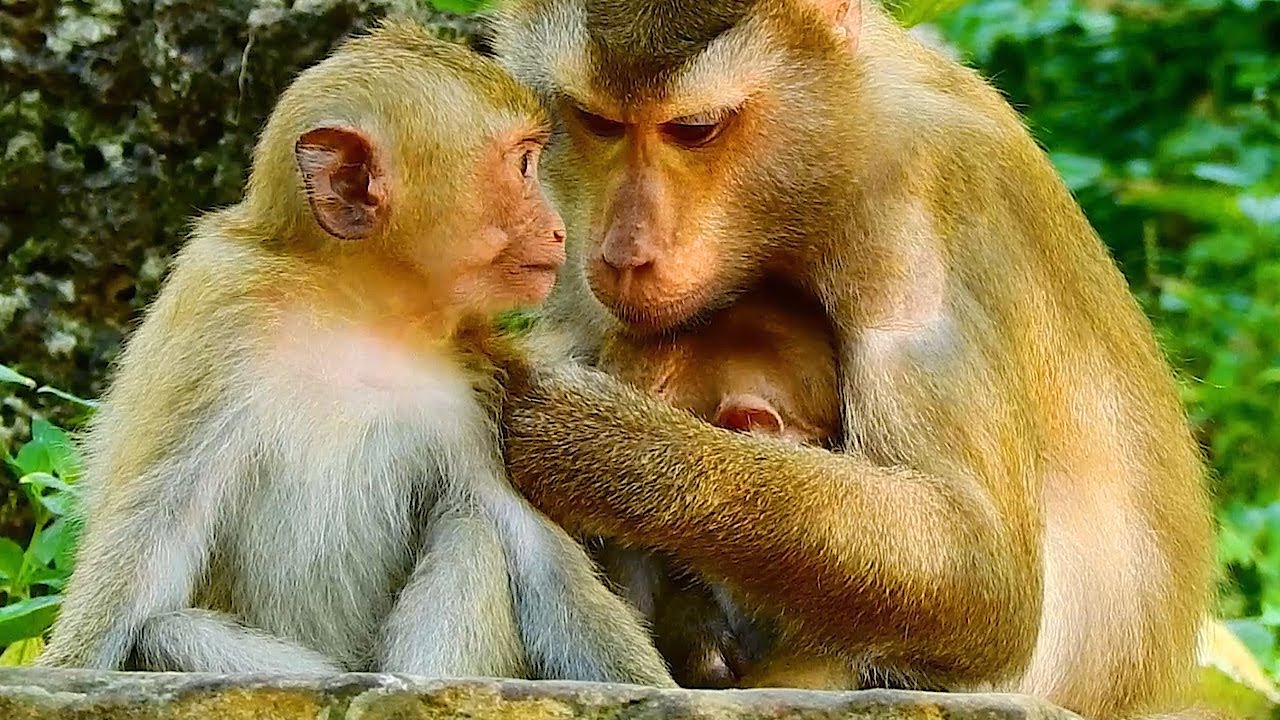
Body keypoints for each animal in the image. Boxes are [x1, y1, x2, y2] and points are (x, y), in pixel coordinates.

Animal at [35, 19, 674, 687]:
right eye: (522, 164)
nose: (558, 229)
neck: (359, 313)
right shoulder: (220, 316)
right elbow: (147, 546)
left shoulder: (475, 383)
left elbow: (537, 554)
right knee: (164, 633)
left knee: (472, 528)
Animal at [487, 0, 1215, 717]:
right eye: (598, 122)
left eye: (694, 130)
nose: (626, 253)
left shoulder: (922, 201)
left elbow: (980, 576)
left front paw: (595, 444)